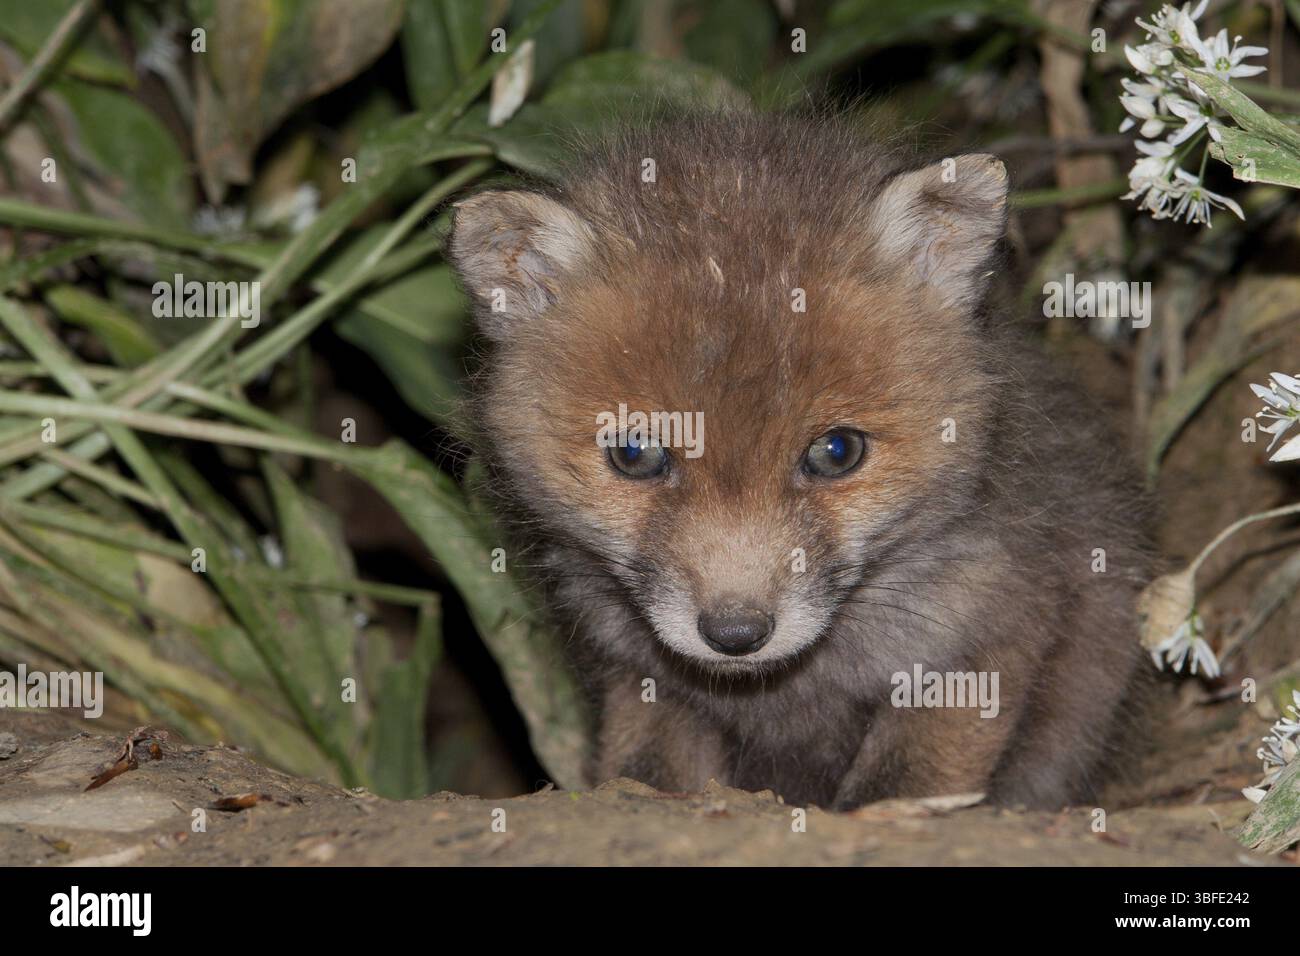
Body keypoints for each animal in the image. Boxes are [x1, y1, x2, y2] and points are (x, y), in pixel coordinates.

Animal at [448, 112, 1154, 810]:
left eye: (836, 452)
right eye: (635, 453)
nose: (736, 633)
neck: (787, 692)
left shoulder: (985, 637)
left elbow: (900, 789)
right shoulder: (646, 681)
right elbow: (643, 779)